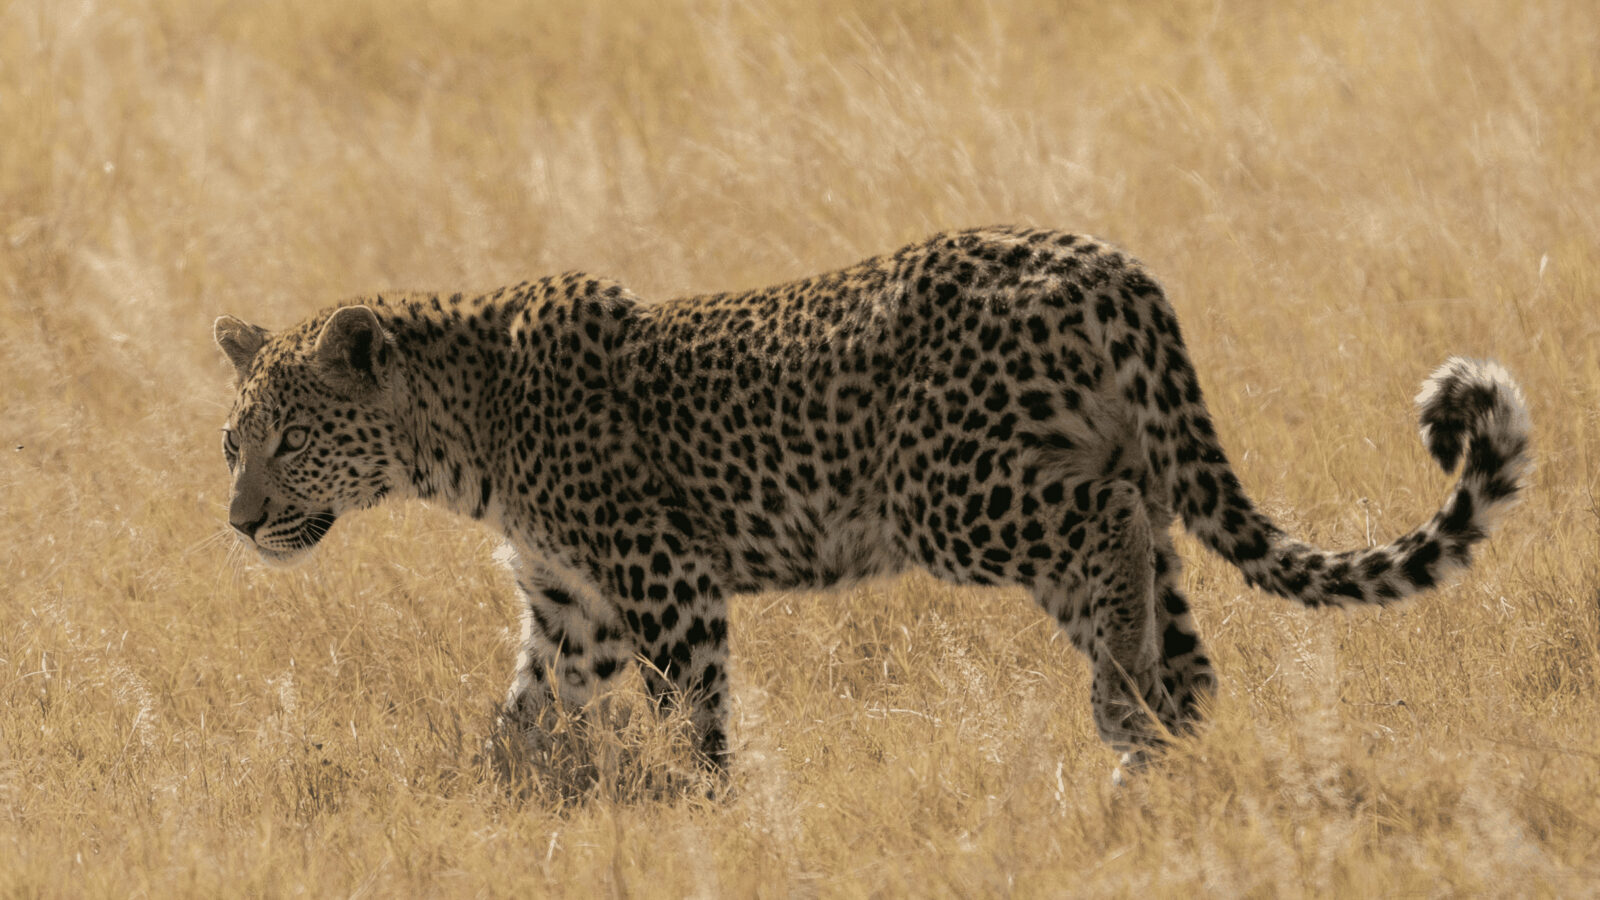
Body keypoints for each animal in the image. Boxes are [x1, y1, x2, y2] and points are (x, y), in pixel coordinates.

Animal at [214, 225, 1531, 775]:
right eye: (234, 439)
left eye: (289, 439)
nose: (237, 521)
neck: (457, 438)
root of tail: (1105, 260)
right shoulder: (573, 610)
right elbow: (524, 719)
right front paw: (499, 801)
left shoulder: (664, 578)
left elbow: (692, 713)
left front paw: (702, 809)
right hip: (1094, 472)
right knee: (1161, 573)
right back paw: (1165, 731)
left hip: (953, 493)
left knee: (1105, 531)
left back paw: (1124, 709)